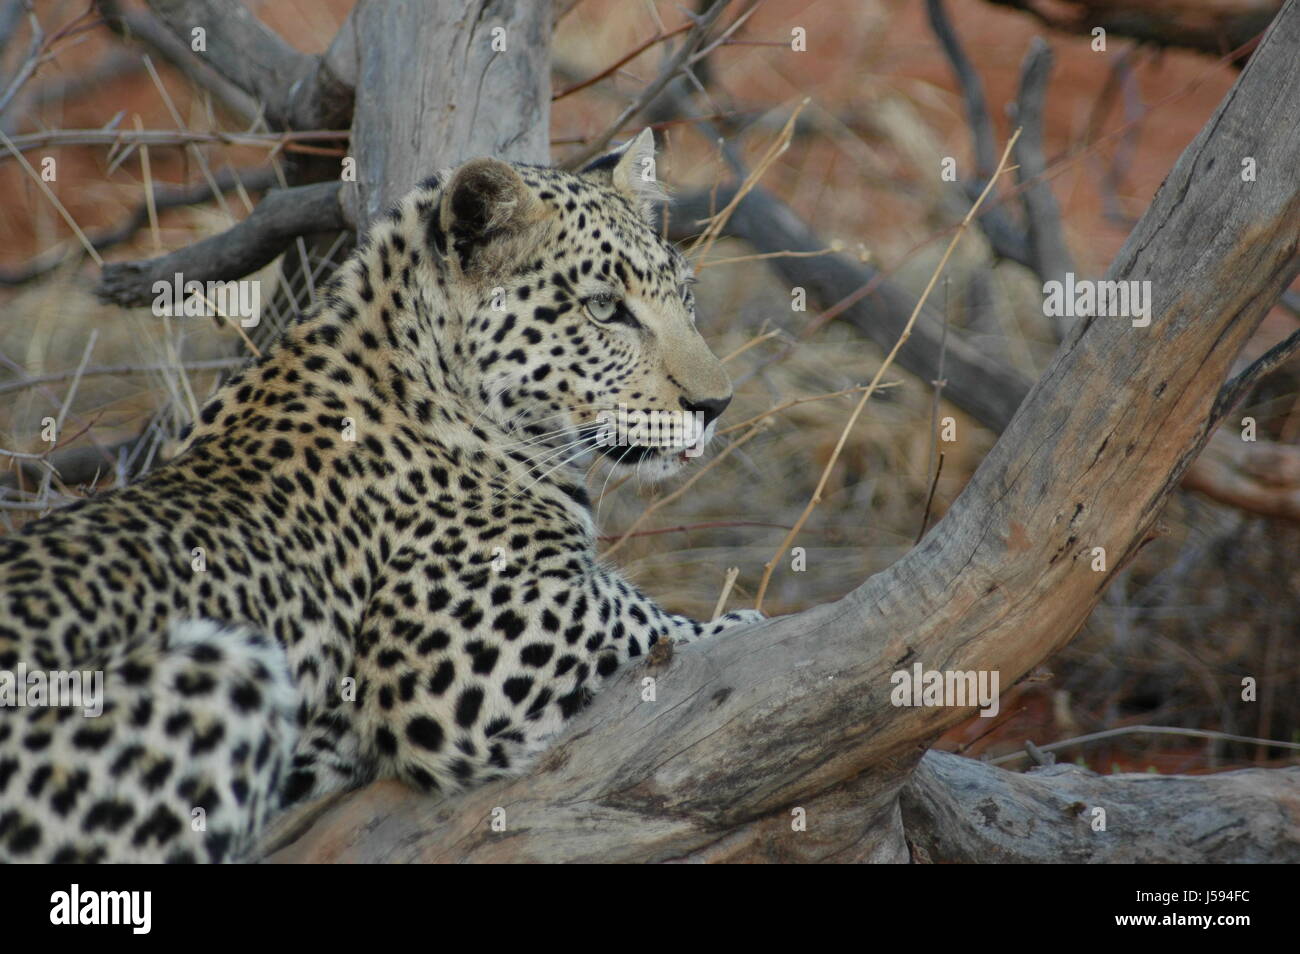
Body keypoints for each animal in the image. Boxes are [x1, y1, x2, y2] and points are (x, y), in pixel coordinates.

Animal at [0, 129, 765, 863]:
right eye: (606, 309)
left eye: (684, 297)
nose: (717, 405)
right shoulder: (470, 651)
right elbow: (647, 620)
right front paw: (738, 622)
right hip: (225, 663)